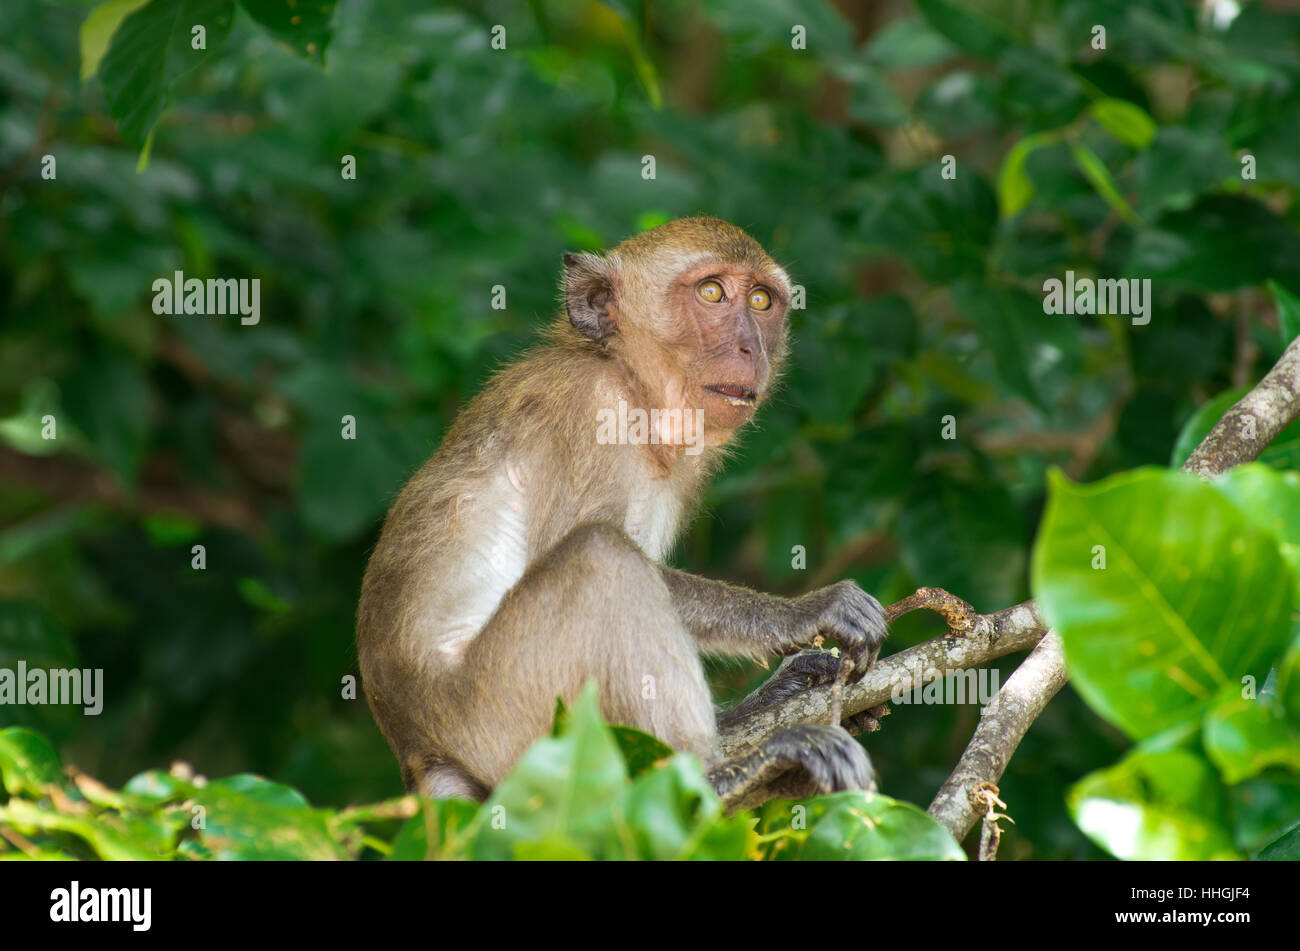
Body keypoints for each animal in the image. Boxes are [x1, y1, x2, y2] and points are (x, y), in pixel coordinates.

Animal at [356, 217, 888, 812]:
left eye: (760, 300)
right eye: (711, 293)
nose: (750, 347)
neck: (633, 385)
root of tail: (423, 752)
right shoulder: (588, 407)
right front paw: (807, 611)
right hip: (504, 711)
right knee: (599, 555)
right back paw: (721, 776)